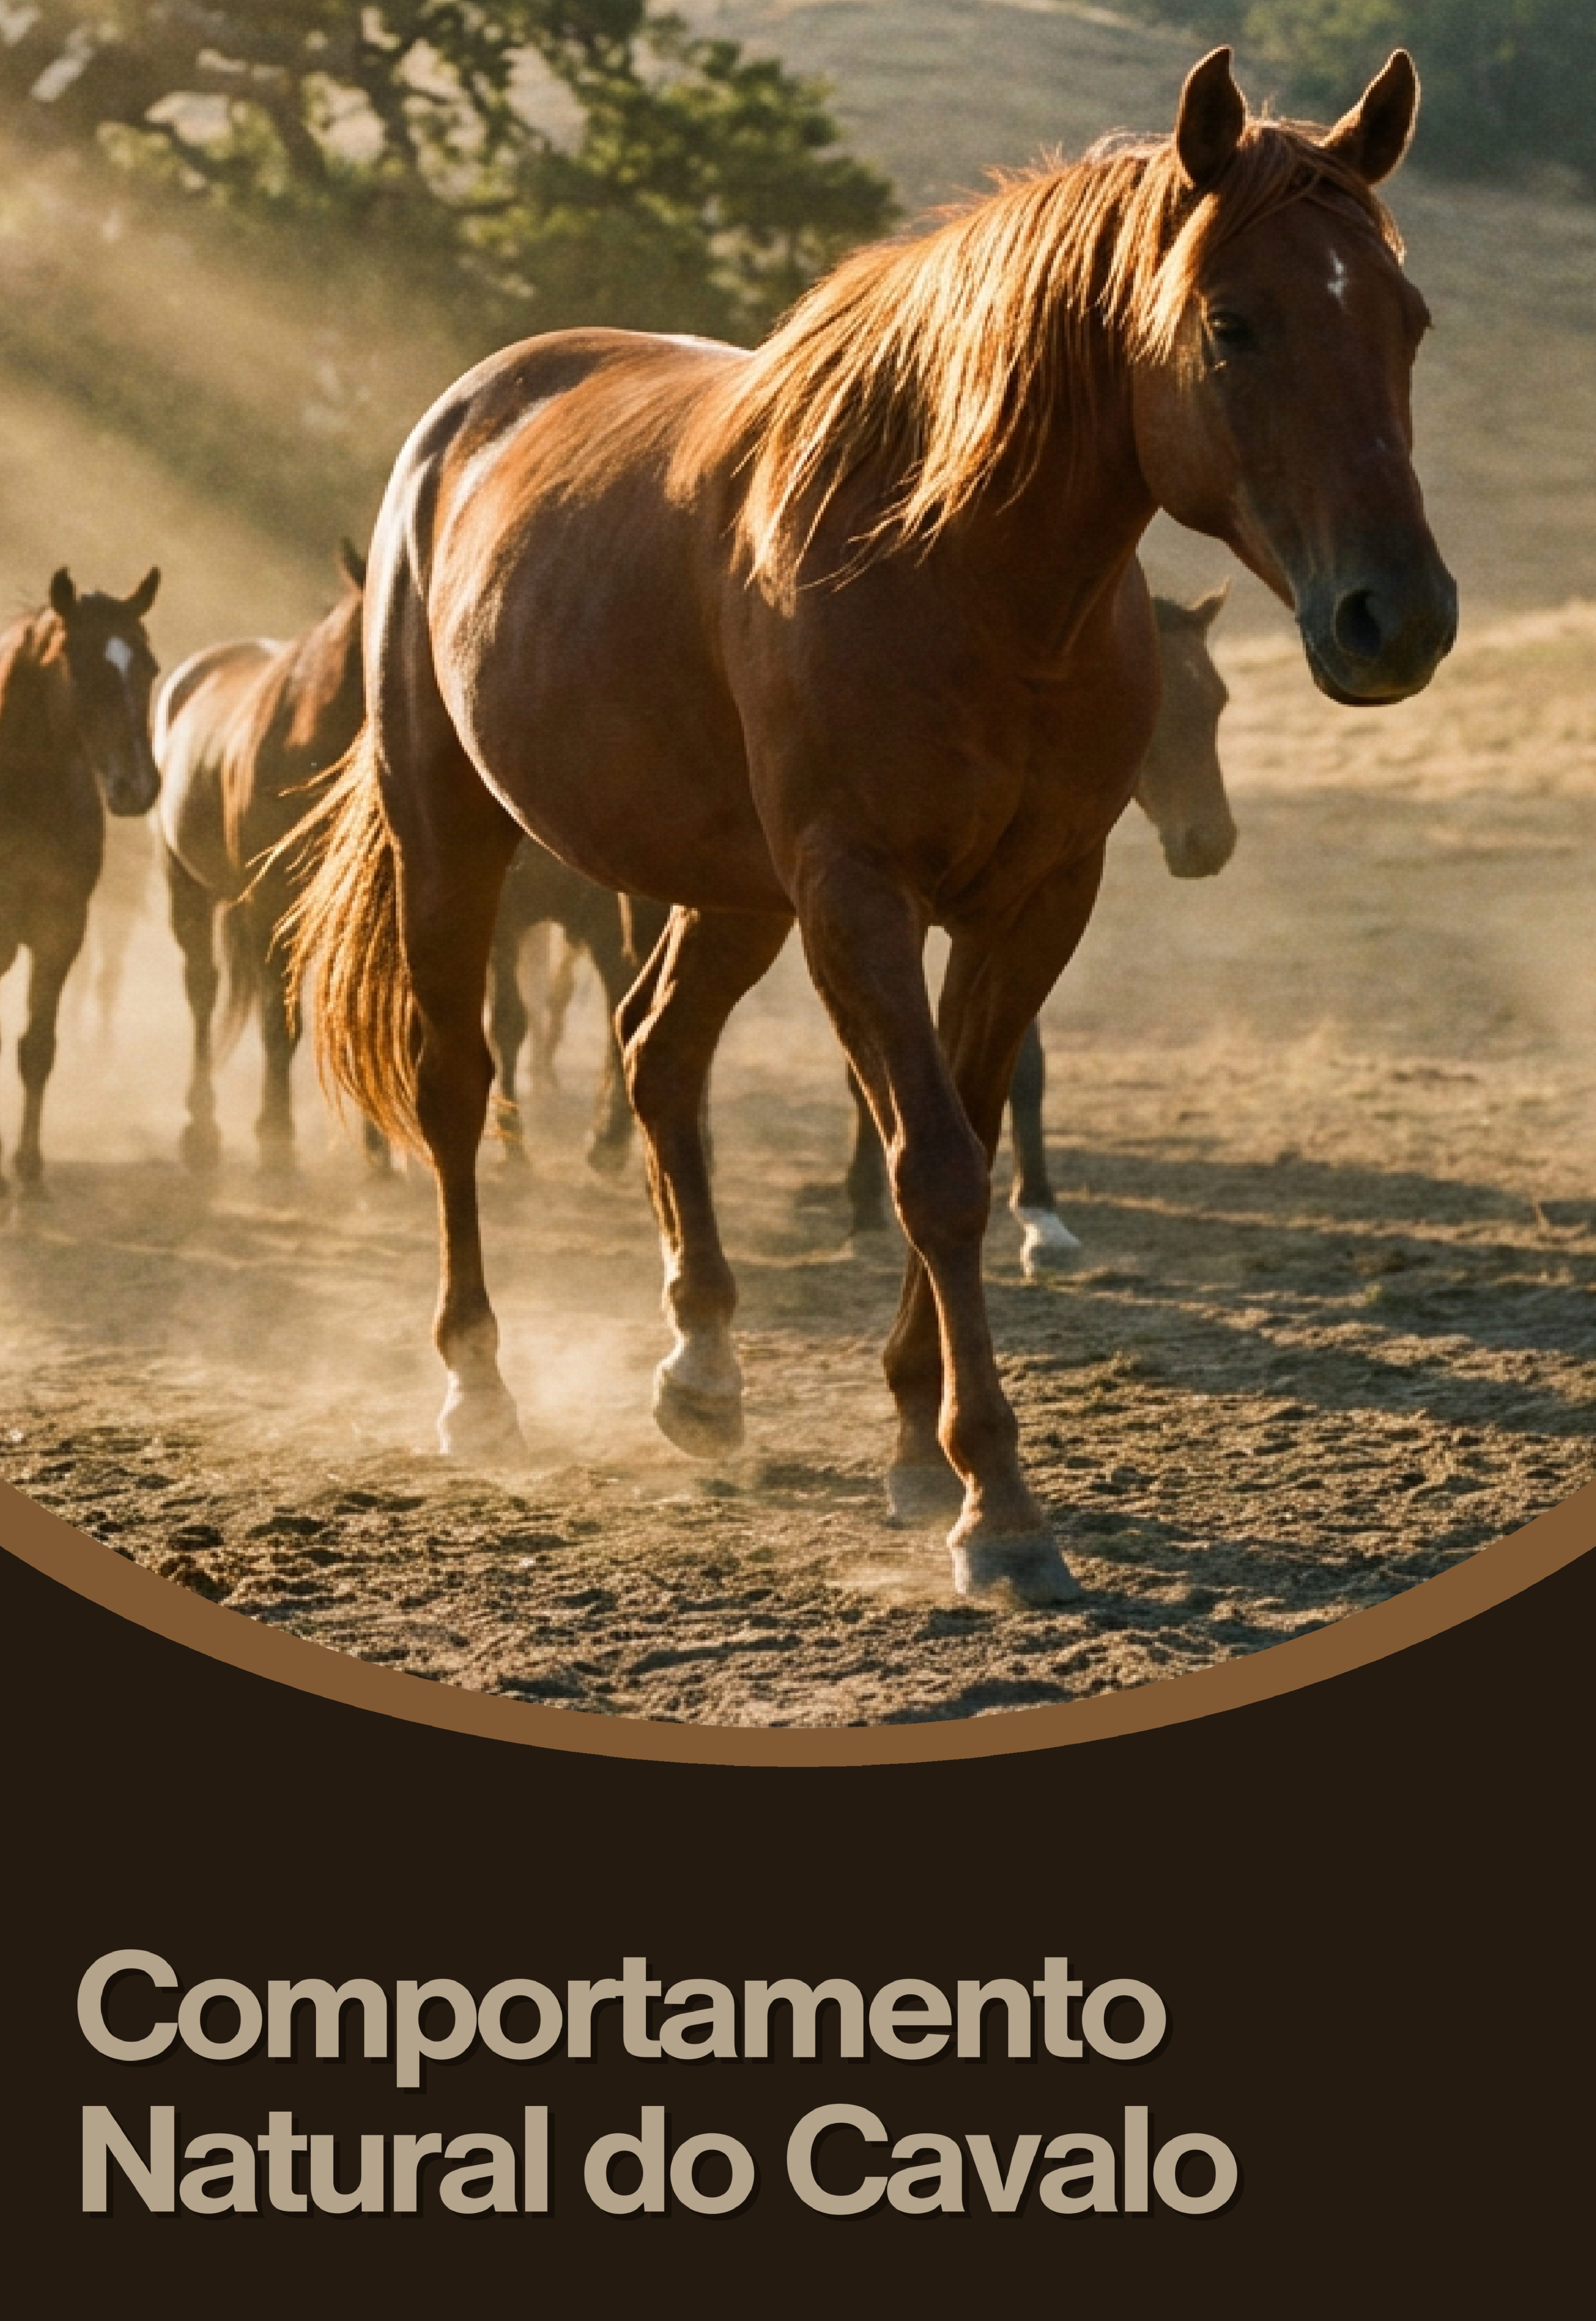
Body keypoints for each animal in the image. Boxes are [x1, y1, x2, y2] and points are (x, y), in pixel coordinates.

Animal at [0, 567, 162, 1199]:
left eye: (149, 667)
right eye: (83, 669)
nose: (138, 786)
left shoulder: (61, 930)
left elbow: (38, 1049)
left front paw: (28, 1168)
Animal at [841, 586, 1235, 1270]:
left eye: (1216, 701)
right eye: (1154, 711)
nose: (1211, 842)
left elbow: (1022, 1064)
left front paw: (1040, 1216)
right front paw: (865, 1199)